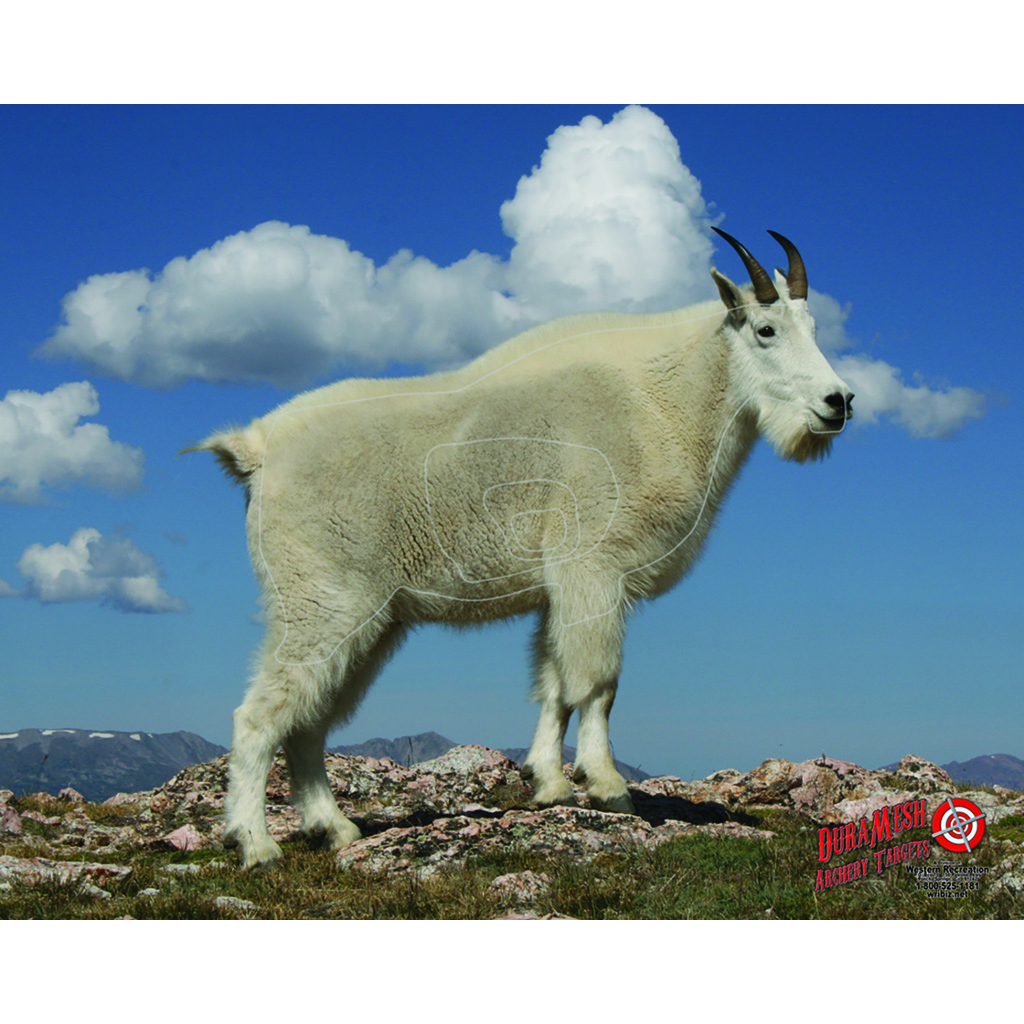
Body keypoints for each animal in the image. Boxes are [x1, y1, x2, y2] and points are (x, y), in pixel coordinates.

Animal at [184, 228, 854, 868]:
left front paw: (549, 785)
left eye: (816, 329)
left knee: (310, 720)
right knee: (261, 716)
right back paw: (256, 846)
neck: (665, 399)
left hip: (370, 618)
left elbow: (554, 683)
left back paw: (335, 829)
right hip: (323, 600)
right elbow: (598, 683)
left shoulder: (561, 588)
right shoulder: (593, 567)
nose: (838, 402)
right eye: (766, 330)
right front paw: (608, 787)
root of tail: (256, 450)